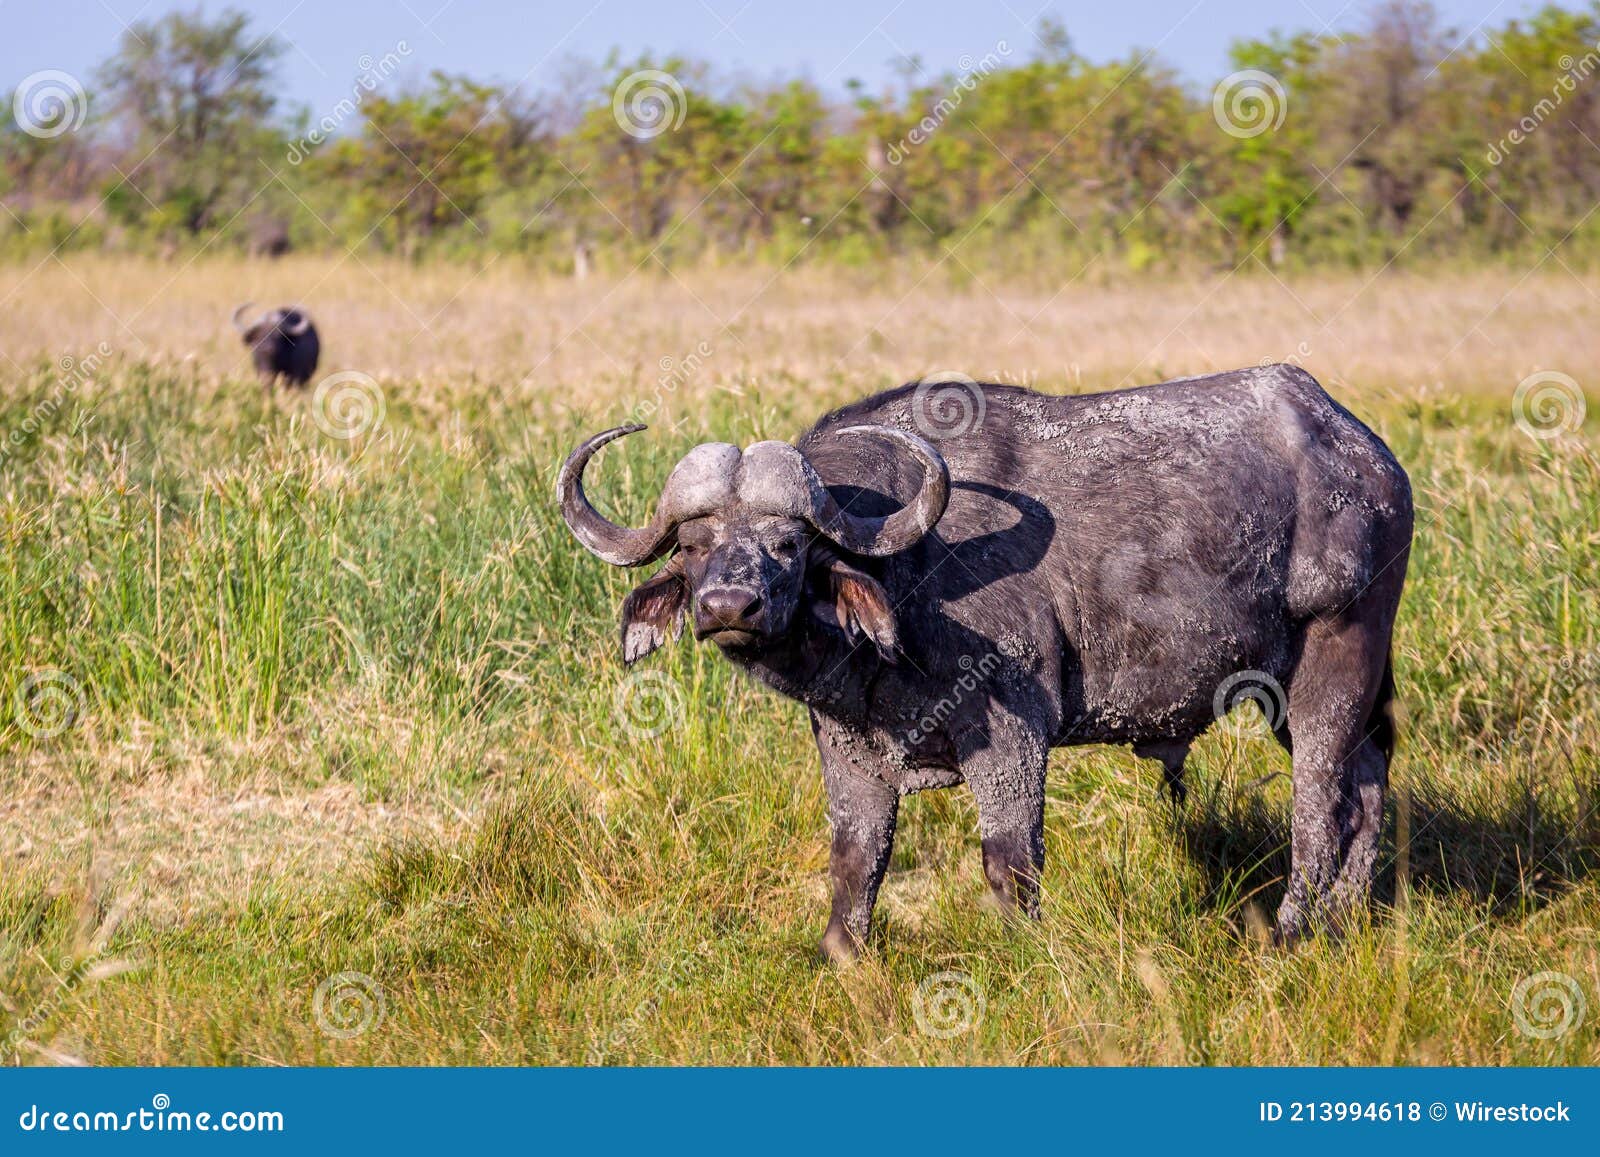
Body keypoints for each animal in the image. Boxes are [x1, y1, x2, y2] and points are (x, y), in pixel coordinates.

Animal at [559, 365, 1413, 960]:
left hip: (1333, 658)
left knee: (1320, 805)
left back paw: (1292, 931)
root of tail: (1365, 454)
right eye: (694, 545)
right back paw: (1349, 918)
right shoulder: (850, 745)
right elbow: (856, 859)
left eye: (788, 543)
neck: (910, 586)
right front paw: (841, 955)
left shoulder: (1011, 734)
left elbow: (1009, 859)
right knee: (1369, 782)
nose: (728, 605)